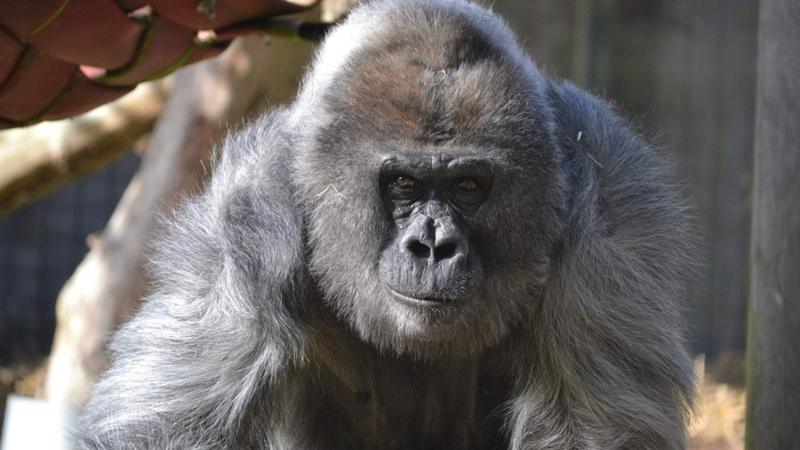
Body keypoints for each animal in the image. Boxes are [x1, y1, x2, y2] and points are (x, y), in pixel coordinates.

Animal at [78, 0, 696, 448]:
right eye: (403, 183)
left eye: (468, 186)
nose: (433, 246)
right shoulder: (249, 214)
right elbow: (166, 430)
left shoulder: (606, 207)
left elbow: (596, 428)